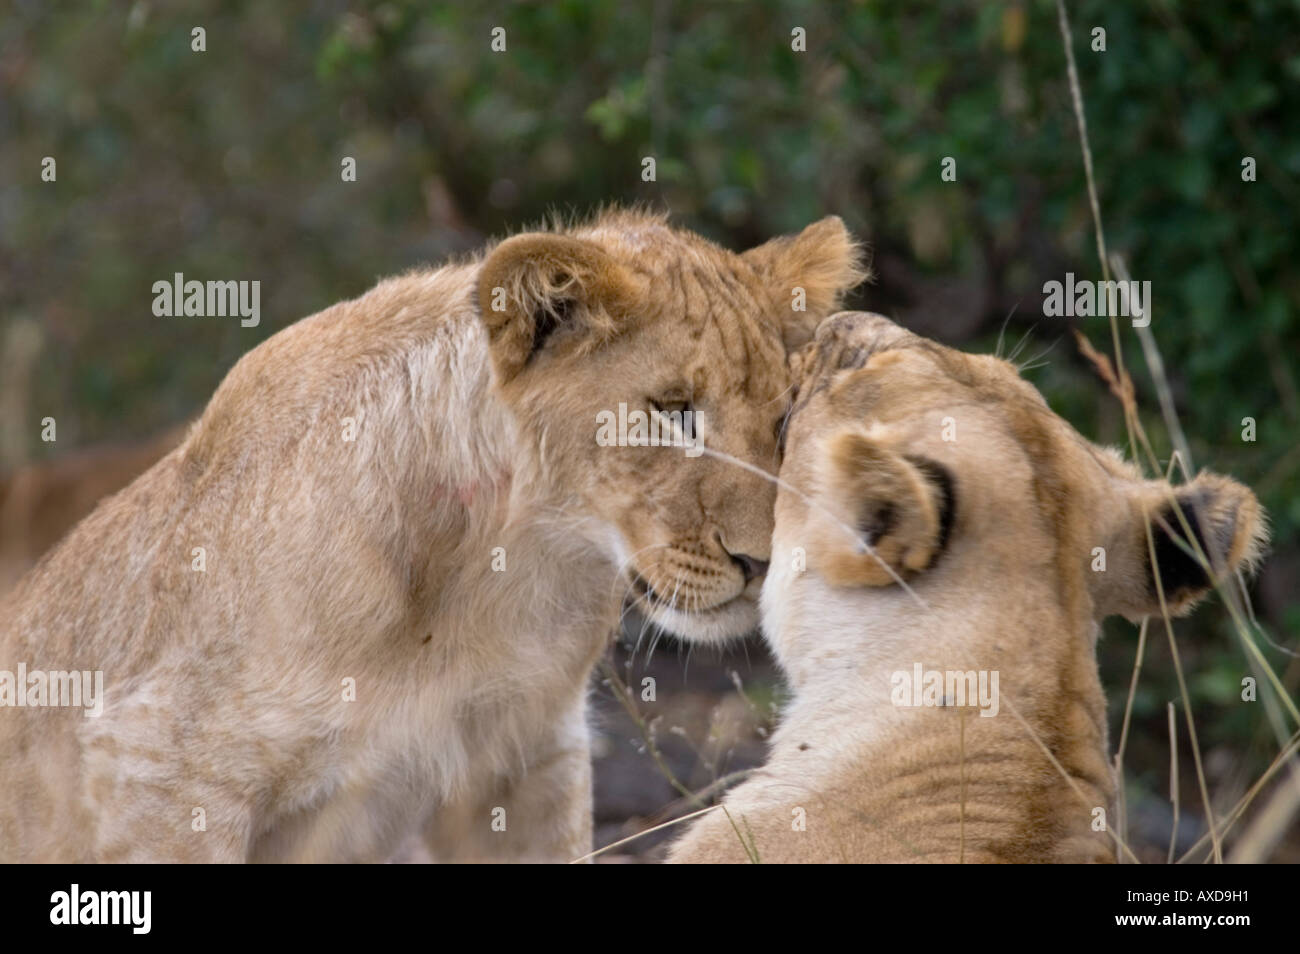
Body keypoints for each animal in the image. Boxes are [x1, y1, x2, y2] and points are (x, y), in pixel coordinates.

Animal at [0, 209, 865, 862]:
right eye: (672, 412)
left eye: (783, 418)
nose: (761, 560)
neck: (494, 568)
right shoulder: (159, 764)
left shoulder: (527, 757)